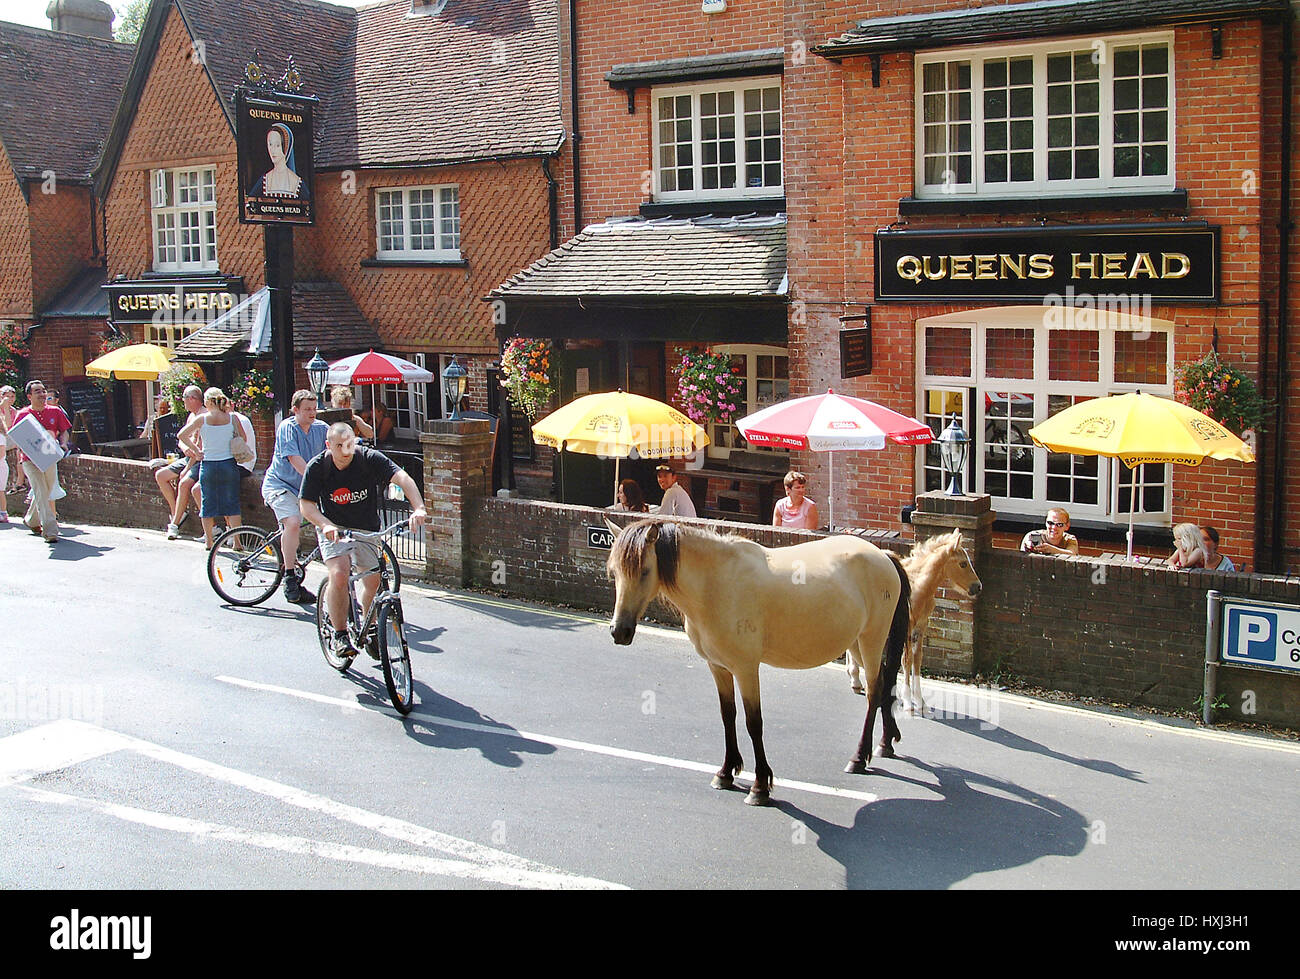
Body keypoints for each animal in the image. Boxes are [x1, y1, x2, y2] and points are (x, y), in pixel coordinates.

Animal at [606, 518, 911, 806]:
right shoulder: (718, 667)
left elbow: (754, 722)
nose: (619, 632)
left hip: (872, 639)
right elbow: (727, 715)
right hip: (856, 642)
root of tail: (883, 556)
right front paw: (726, 772)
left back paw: (859, 757)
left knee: (874, 691)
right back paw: (885, 743)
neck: (716, 584)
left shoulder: (746, 669)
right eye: (614, 572)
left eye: (645, 571)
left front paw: (760, 786)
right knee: (884, 684)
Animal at [846, 529, 982, 714]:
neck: (919, 587)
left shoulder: (921, 627)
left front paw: (920, 702)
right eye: (963, 564)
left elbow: (917, 660)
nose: (978, 587)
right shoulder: (908, 627)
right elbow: (907, 660)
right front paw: (908, 701)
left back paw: (856, 681)